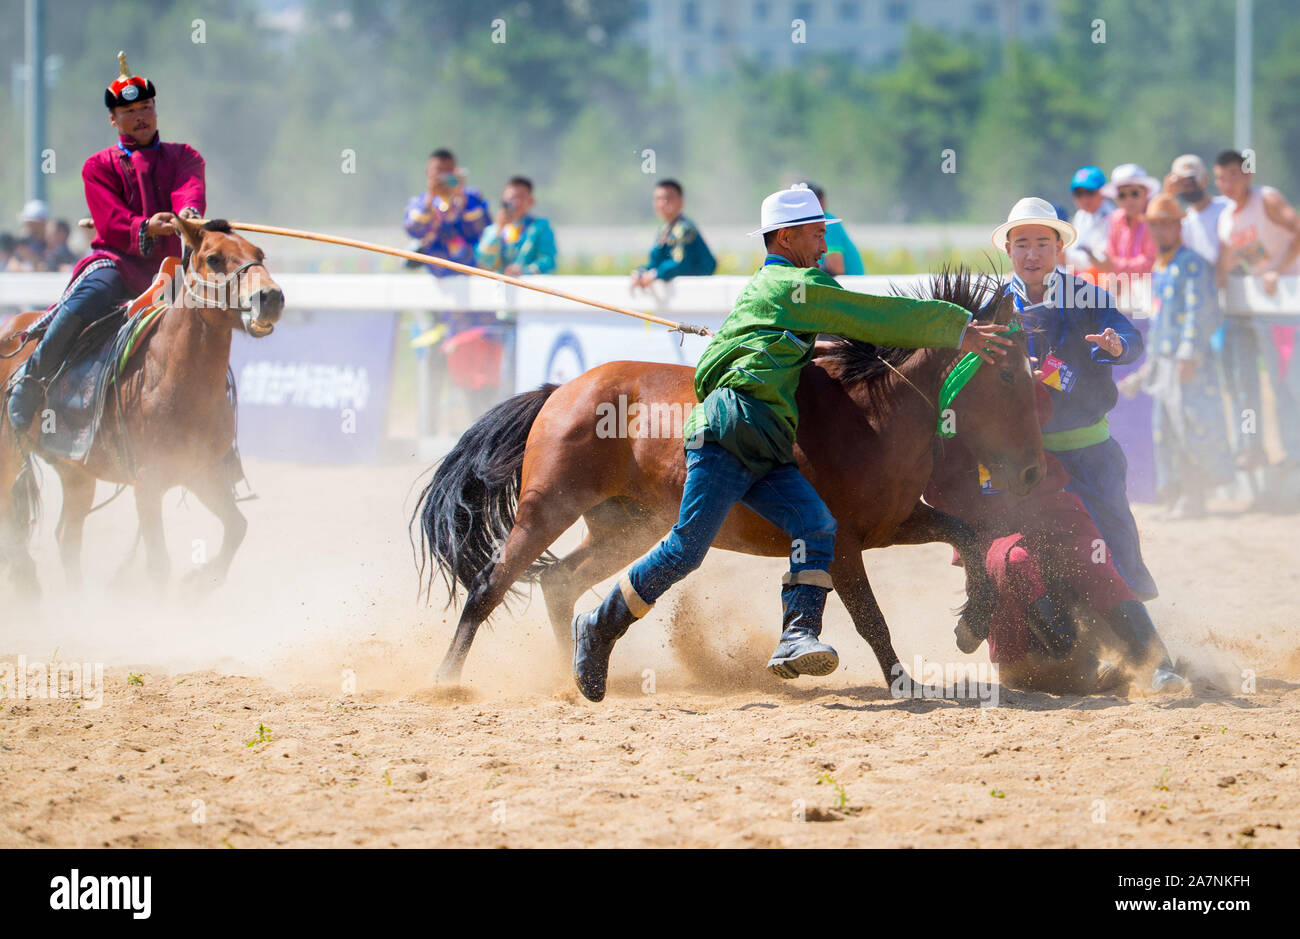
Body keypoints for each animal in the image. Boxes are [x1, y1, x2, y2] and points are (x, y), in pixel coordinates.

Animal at [0, 215, 284, 596]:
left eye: (259, 254)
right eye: (213, 258)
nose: (270, 297)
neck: (168, 375)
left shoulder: (201, 471)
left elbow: (236, 527)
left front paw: (196, 586)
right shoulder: (148, 482)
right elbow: (158, 564)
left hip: (75, 471)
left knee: (66, 535)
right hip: (9, 458)